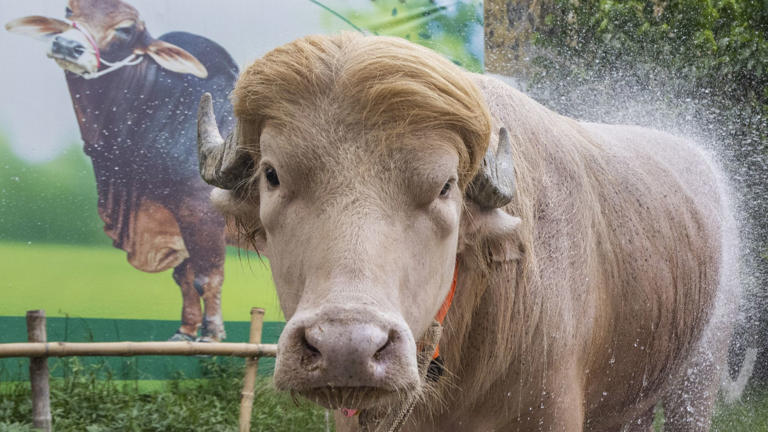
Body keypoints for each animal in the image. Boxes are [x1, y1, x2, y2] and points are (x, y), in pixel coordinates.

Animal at [6, 0, 238, 341]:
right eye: (69, 10)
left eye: (125, 29)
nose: (67, 46)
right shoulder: (173, 220)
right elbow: (183, 276)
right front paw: (184, 332)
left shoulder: (201, 212)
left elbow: (207, 277)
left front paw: (212, 334)